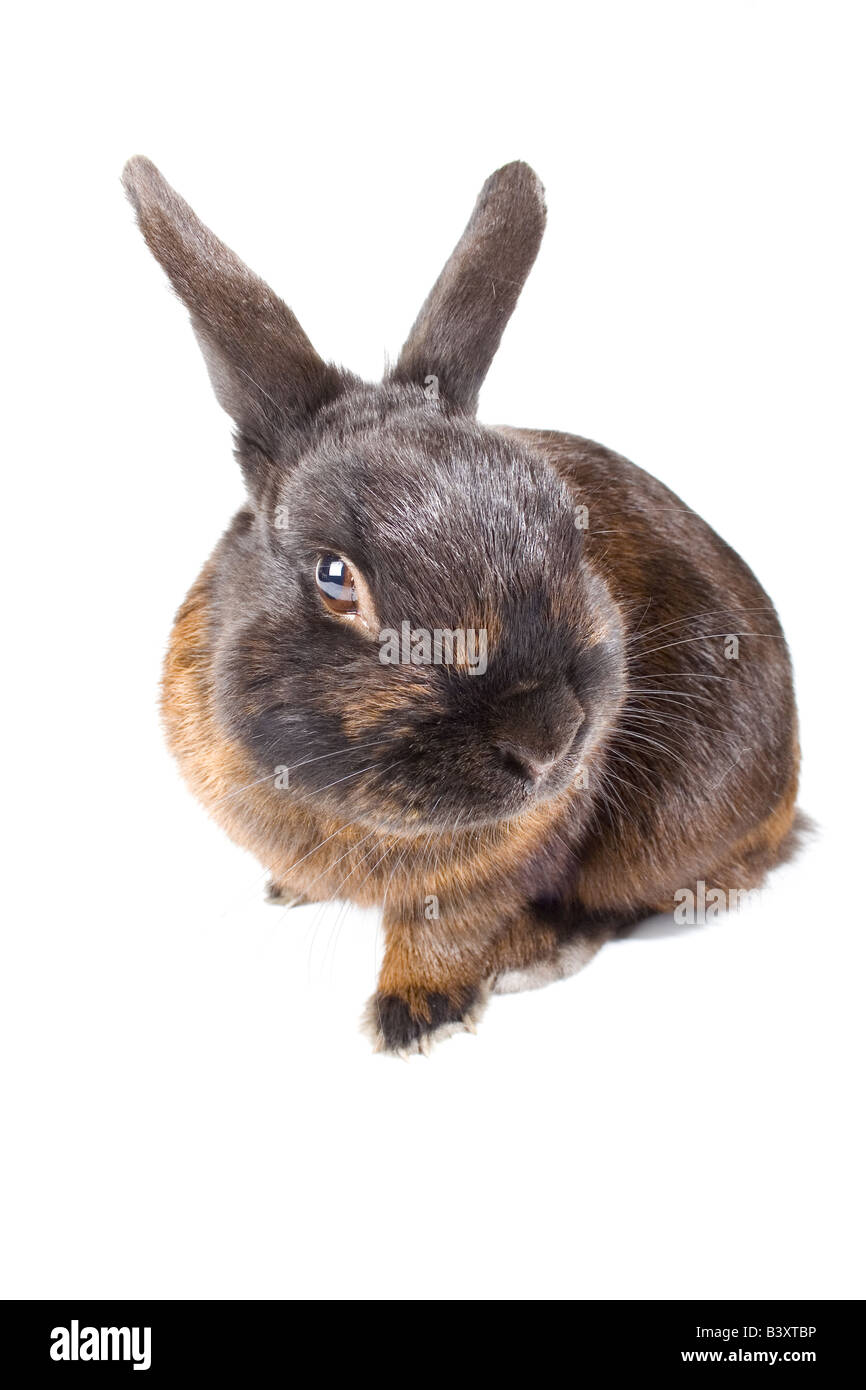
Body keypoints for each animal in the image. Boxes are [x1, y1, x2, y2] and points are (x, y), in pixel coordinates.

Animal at [123, 155, 804, 1055]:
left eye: (567, 527)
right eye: (334, 576)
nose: (549, 737)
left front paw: (416, 1015)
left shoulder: (499, 867)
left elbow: (447, 927)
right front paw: (294, 892)